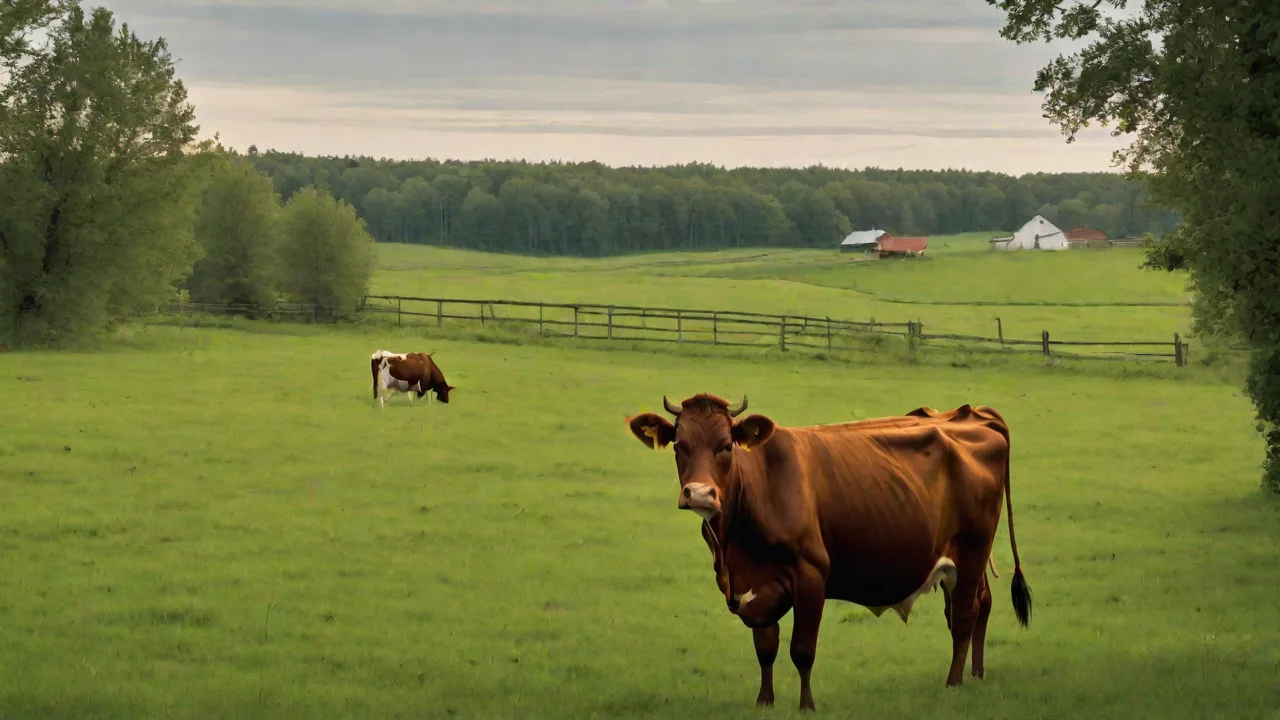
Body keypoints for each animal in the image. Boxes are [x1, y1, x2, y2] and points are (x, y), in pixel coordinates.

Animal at [625, 393, 1031, 712]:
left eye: (727, 445)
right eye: (679, 445)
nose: (699, 494)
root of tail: (971, 413)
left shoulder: (810, 576)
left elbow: (802, 649)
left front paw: (806, 706)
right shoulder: (754, 584)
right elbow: (765, 647)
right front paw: (764, 701)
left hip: (973, 547)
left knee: (963, 615)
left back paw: (953, 683)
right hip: (959, 561)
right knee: (980, 605)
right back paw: (976, 675)